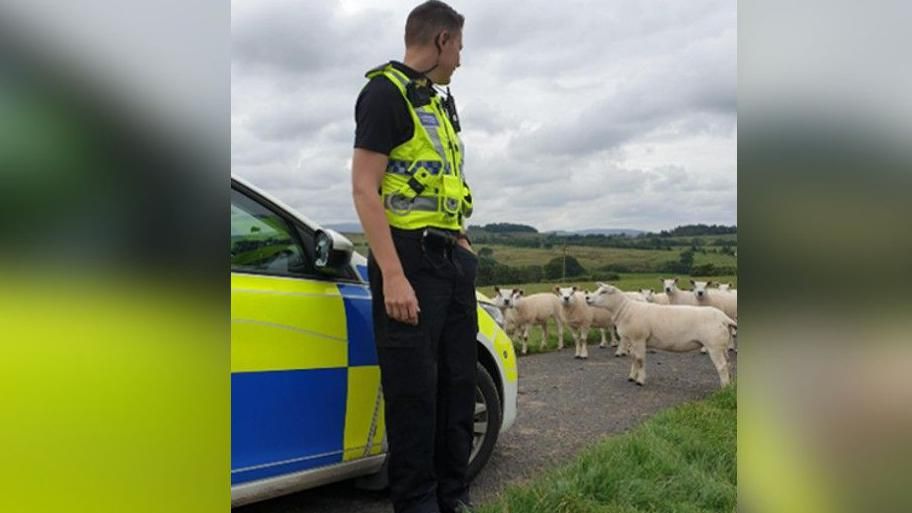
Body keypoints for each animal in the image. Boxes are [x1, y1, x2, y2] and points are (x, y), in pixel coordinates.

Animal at [586, 283, 736, 387]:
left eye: (604, 292)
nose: (587, 298)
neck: (625, 309)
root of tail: (724, 319)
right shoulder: (632, 340)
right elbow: (634, 359)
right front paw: (632, 377)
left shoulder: (639, 338)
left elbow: (640, 360)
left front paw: (640, 381)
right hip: (722, 345)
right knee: (728, 363)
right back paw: (729, 385)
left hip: (714, 345)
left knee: (722, 366)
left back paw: (723, 387)